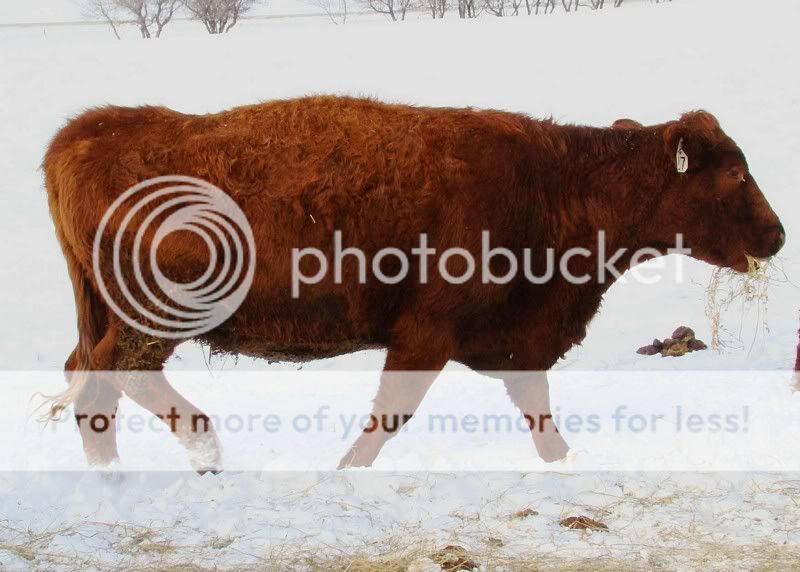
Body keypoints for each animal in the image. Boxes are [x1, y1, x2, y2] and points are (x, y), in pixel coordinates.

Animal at [43, 96, 785, 472]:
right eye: (733, 173)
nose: (777, 236)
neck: (553, 181)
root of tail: (87, 132)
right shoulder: (425, 337)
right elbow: (389, 416)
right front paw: (344, 472)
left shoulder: (511, 343)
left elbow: (538, 412)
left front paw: (564, 462)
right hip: (151, 318)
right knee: (111, 377)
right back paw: (173, 458)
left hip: (114, 314)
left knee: (93, 376)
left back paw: (157, 462)